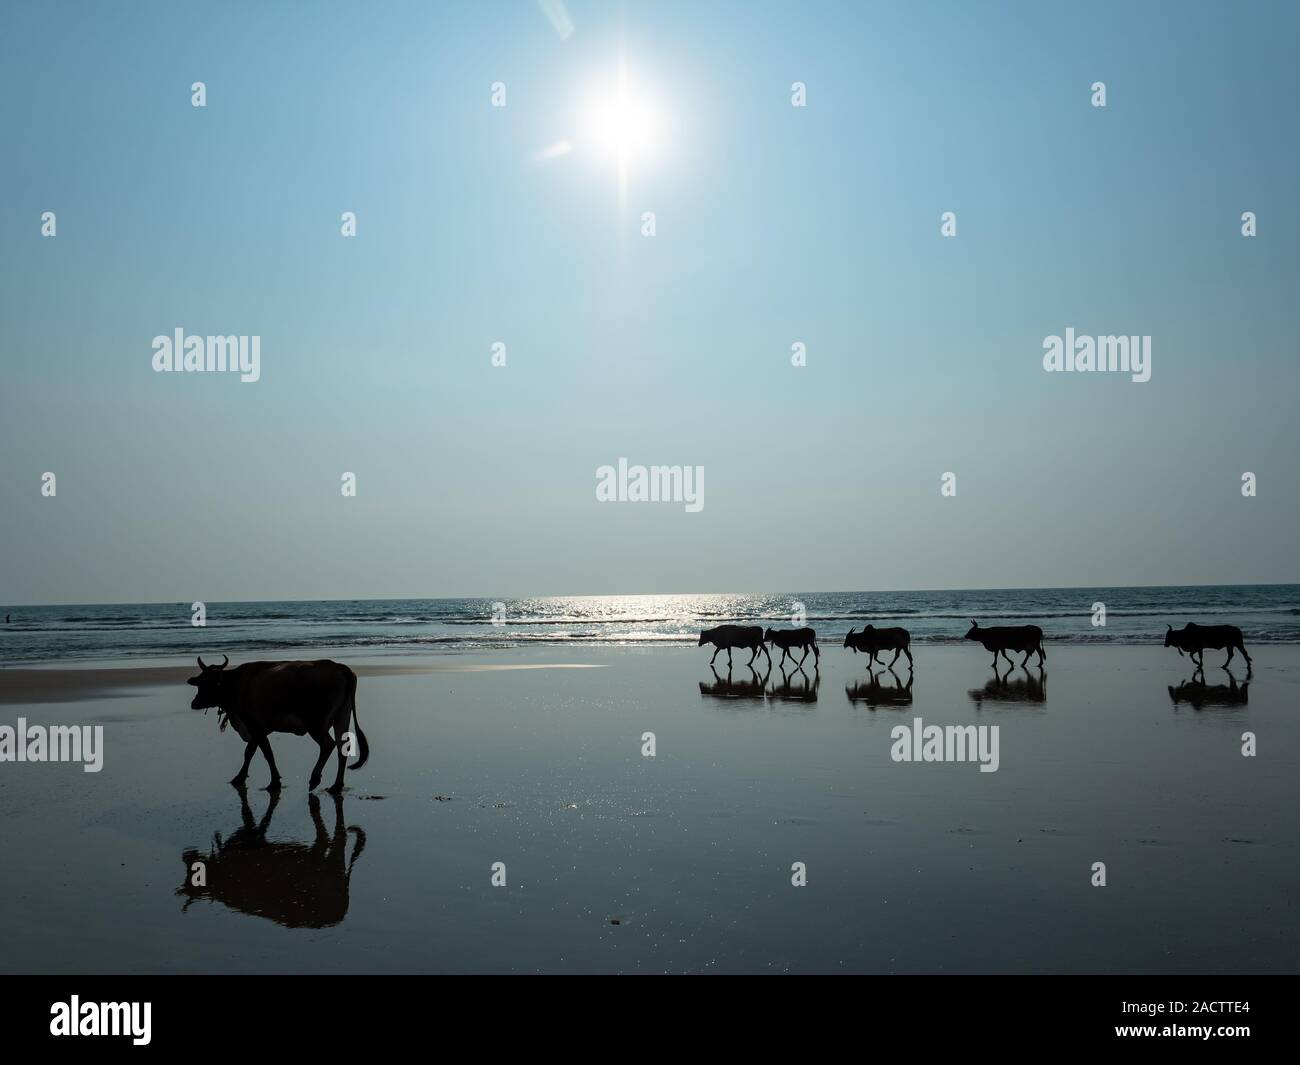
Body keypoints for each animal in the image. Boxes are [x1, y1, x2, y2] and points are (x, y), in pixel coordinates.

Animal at [186, 656, 369, 793]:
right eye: (200, 682)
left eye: (210, 683)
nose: (194, 703)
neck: (237, 684)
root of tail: (342, 668)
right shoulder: (258, 729)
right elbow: (251, 752)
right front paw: (241, 777)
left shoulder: (254, 725)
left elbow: (265, 753)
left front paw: (273, 782)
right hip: (342, 717)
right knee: (342, 747)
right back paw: (336, 785)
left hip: (316, 724)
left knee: (328, 745)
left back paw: (315, 778)